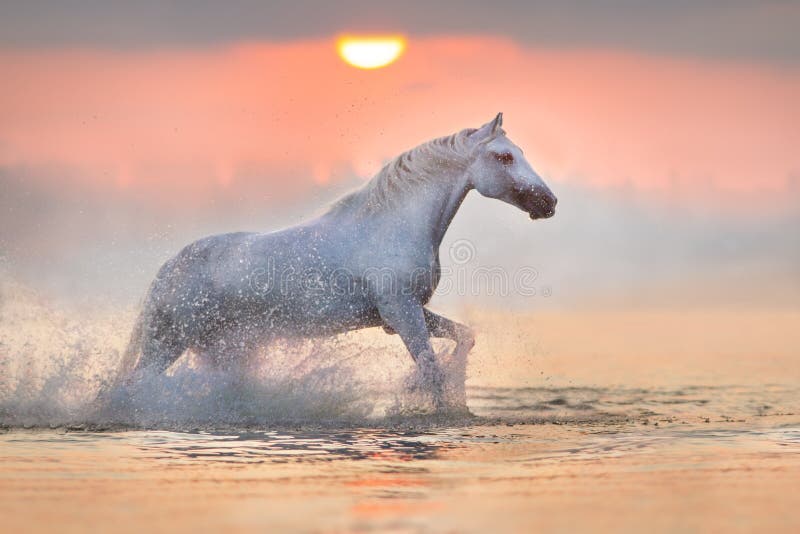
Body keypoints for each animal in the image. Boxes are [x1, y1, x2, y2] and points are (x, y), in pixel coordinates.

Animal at [111, 113, 557, 411]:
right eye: (504, 157)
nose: (549, 202)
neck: (393, 225)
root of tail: (169, 269)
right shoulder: (402, 311)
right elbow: (430, 369)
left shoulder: (403, 313)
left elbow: (464, 338)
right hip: (169, 340)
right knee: (136, 384)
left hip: (219, 347)